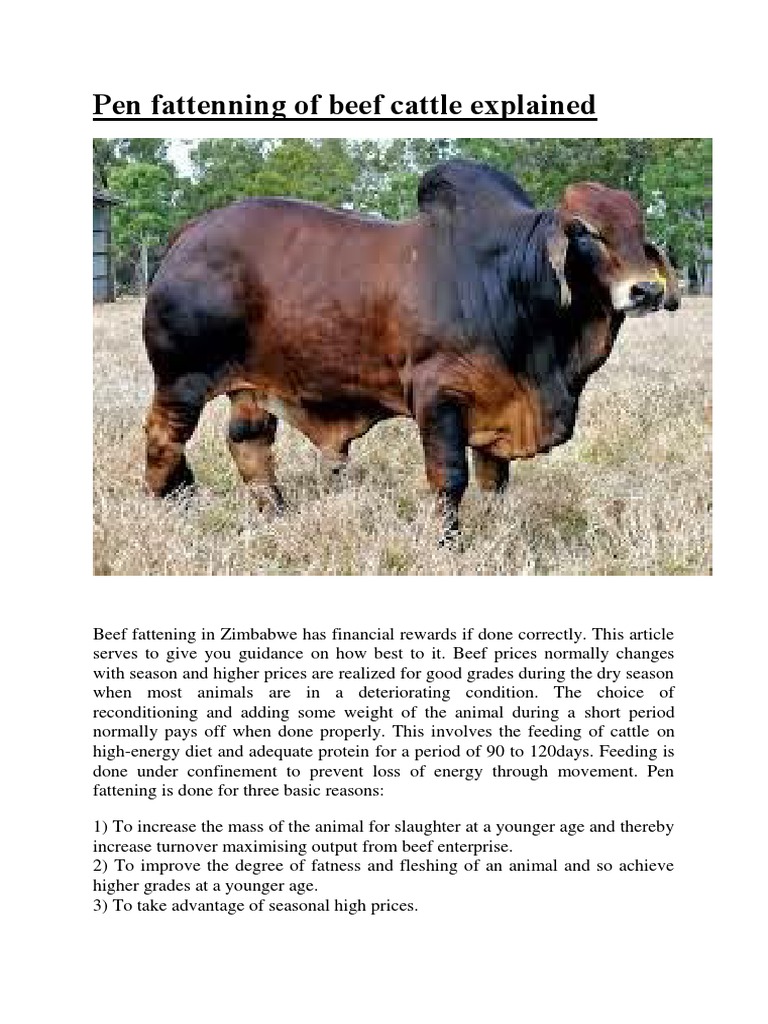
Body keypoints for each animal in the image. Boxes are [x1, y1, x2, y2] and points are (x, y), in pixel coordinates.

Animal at [143, 159, 679, 541]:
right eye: (585, 230)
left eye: (638, 230)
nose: (646, 291)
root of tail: (189, 233)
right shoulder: (437, 395)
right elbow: (450, 478)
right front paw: (448, 544)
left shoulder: (499, 404)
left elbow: (495, 479)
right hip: (180, 378)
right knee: (163, 437)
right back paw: (173, 507)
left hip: (252, 385)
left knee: (248, 441)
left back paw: (275, 513)